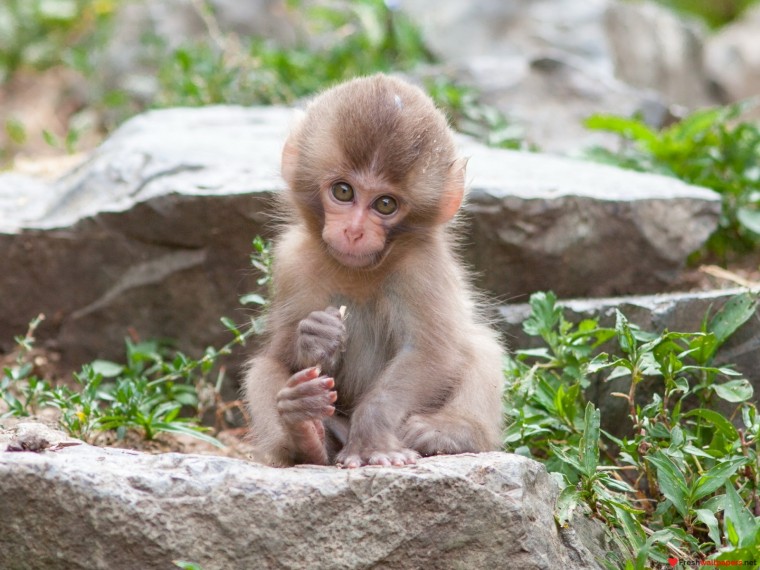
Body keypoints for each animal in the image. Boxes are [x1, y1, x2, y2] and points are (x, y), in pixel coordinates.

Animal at [243, 74, 504, 468]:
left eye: (385, 204)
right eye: (343, 191)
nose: (354, 231)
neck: (360, 271)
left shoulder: (422, 269)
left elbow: (430, 352)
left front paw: (372, 440)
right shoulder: (292, 260)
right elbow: (280, 354)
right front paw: (314, 337)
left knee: (480, 346)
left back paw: (451, 432)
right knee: (263, 368)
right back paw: (305, 433)